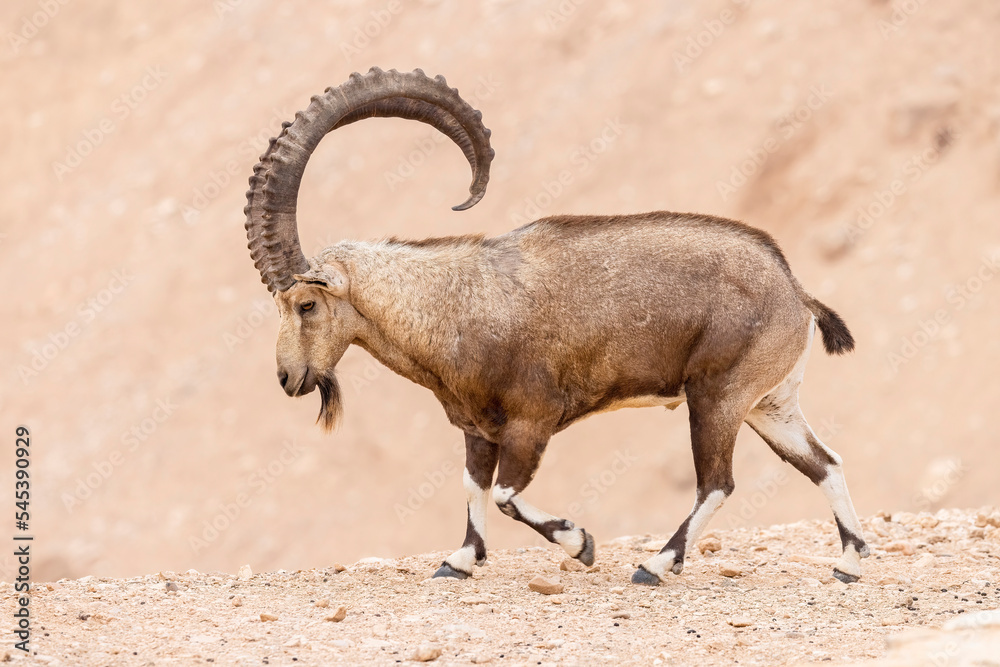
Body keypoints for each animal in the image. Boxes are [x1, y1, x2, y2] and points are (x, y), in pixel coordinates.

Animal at [244, 67, 869, 585]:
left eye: (306, 305)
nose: (288, 379)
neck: (450, 304)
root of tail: (795, 292)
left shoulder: (533, 420)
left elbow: (505, 493)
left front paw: (580, 542)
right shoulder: (476, 427)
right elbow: (474, 484)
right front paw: (459, 560)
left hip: (717, 395)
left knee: (718, 482)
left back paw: (655, 565)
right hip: (768, 402)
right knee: (824, 463)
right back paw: (849, 561)